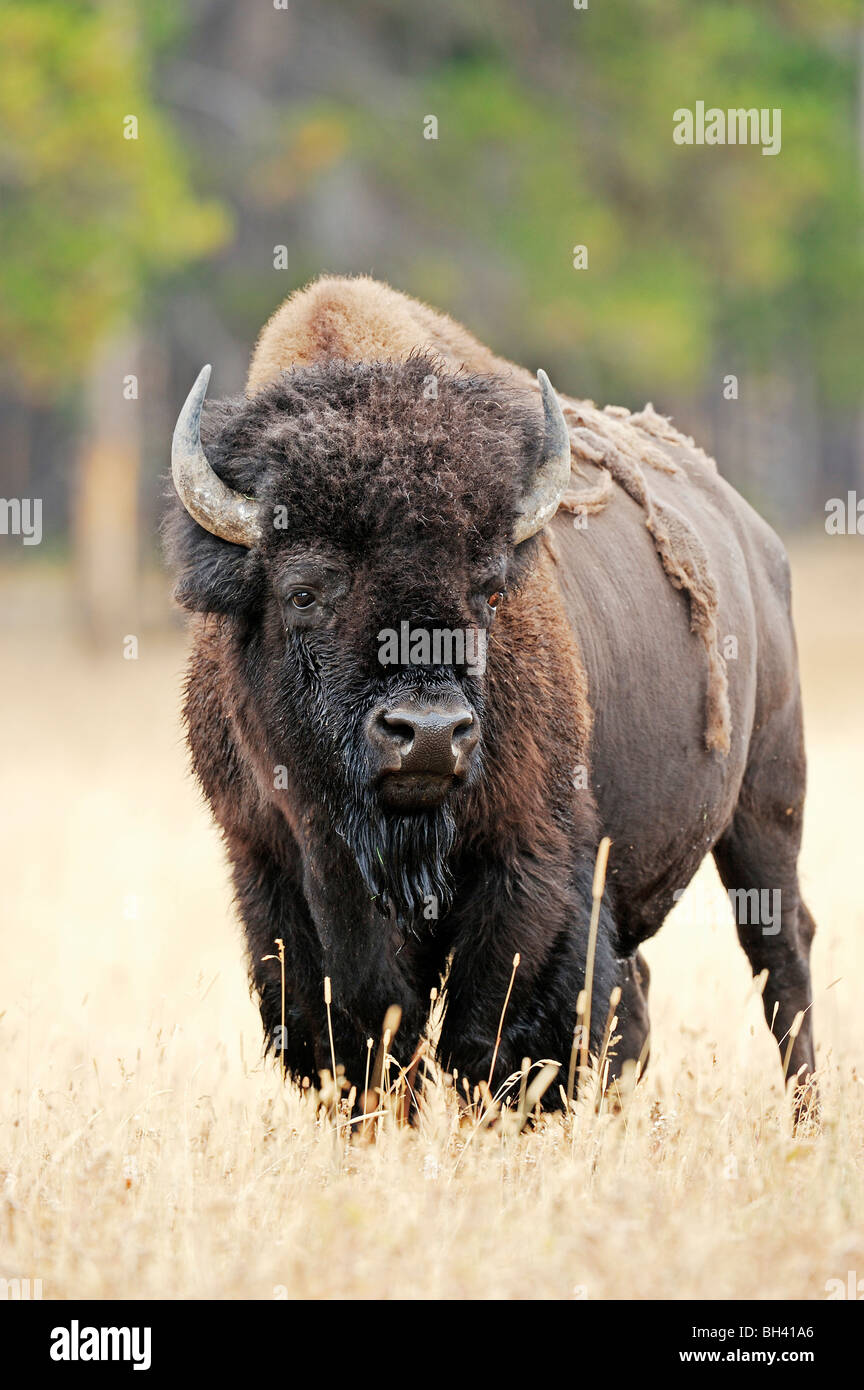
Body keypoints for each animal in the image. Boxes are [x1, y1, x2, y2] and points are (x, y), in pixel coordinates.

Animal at [165, 275, 816, 1118]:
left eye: (490, 592)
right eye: (304, 590)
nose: (429, 733)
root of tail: (756, 539)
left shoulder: (527, 863)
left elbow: (493, 1038)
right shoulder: (272, 869)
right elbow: (361, 1040)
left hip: (767, 806)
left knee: (781, 957)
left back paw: (807, 1119)